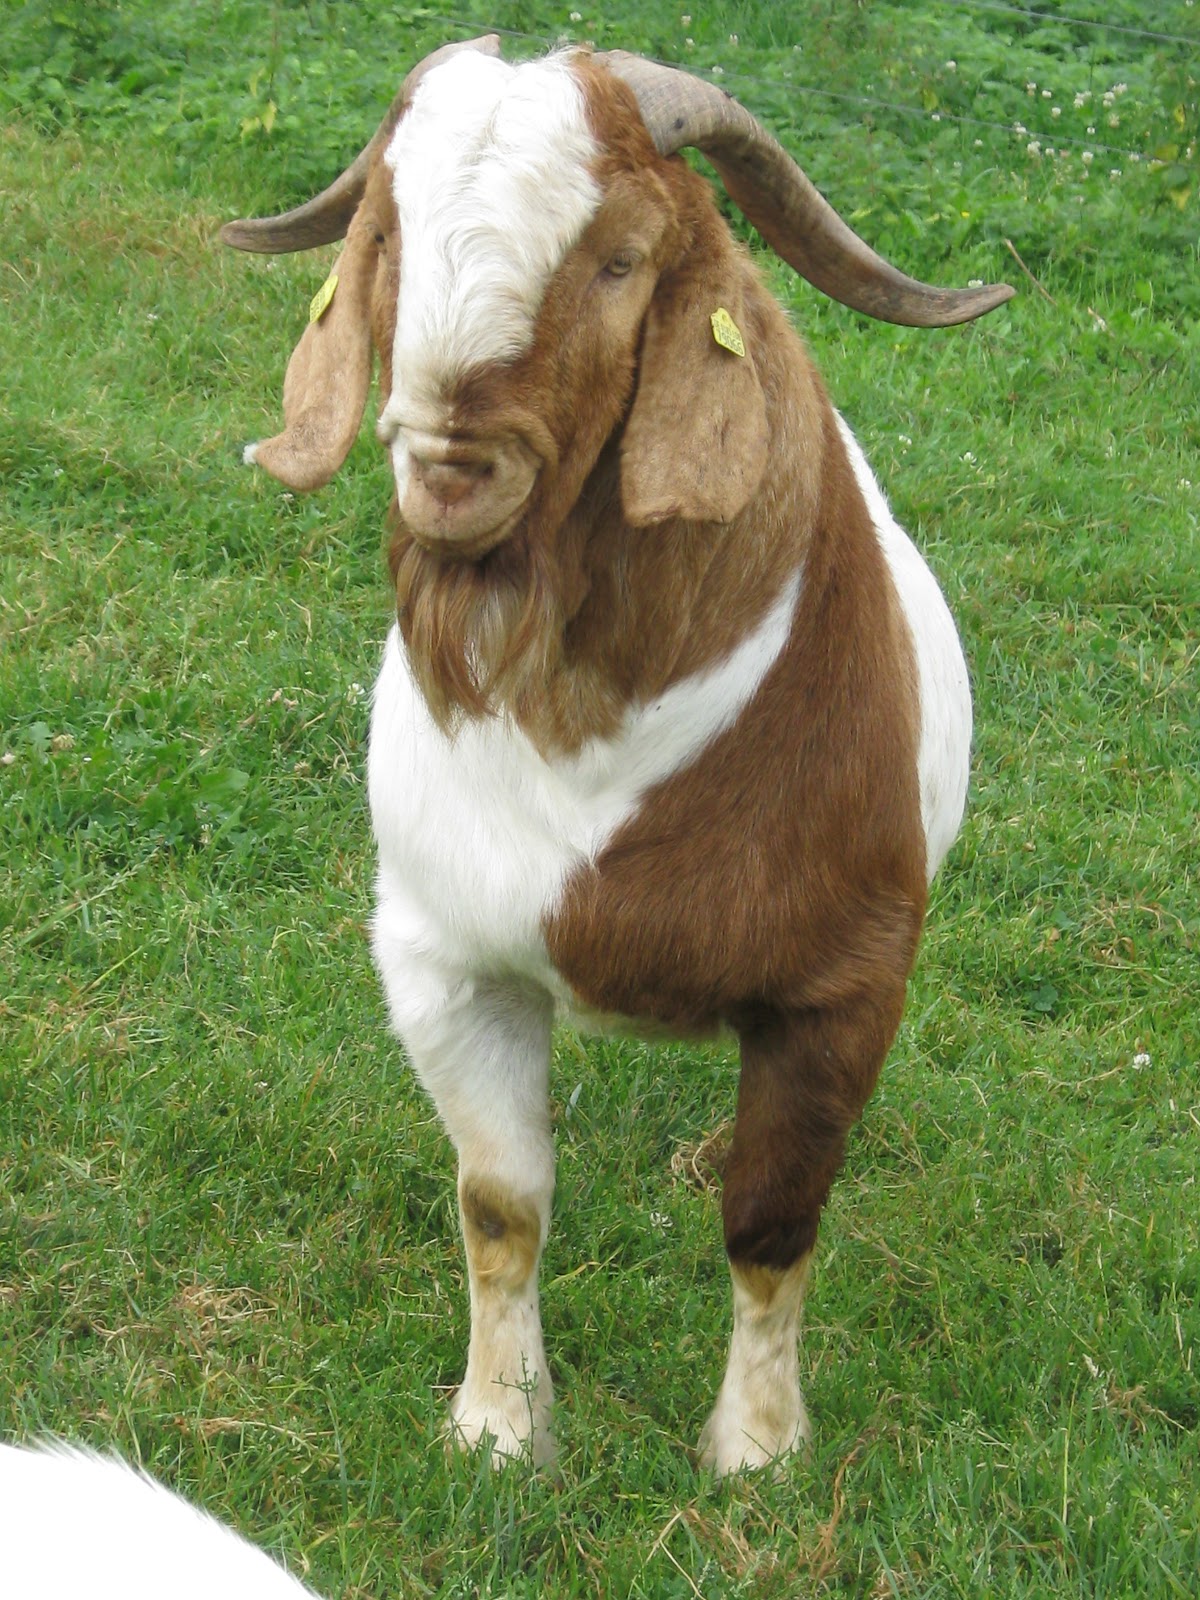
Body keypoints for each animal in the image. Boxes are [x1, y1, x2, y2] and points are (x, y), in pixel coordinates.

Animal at [222, 37, 1011, 1475]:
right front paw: (498, 1426)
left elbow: (771, 1223)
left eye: (622, 258)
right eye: (389, 231)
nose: (451, 467)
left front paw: (757, 1454)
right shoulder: (442, 956)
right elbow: (501, 1202)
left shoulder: (845, 987)